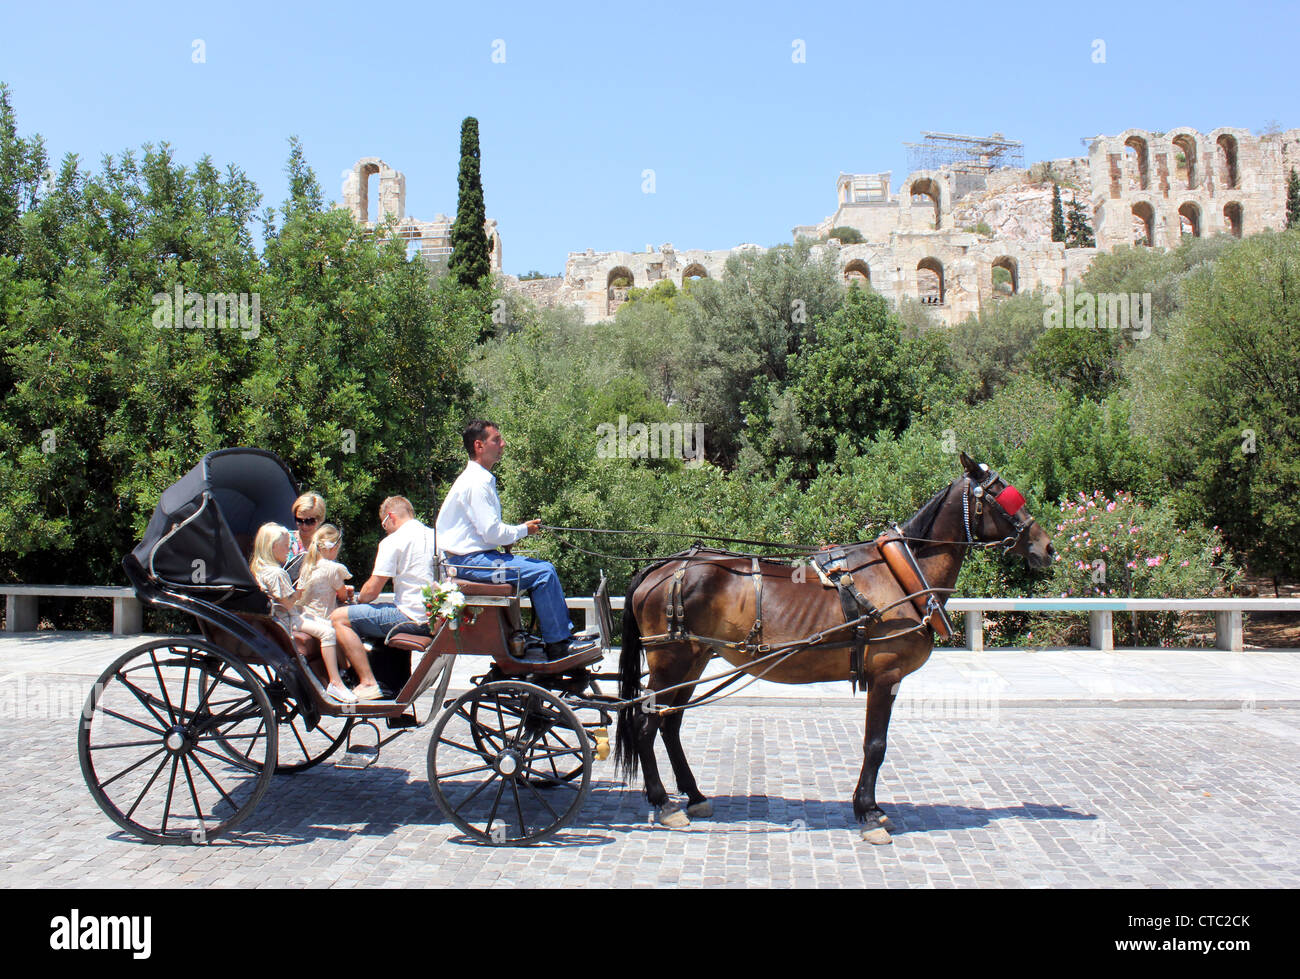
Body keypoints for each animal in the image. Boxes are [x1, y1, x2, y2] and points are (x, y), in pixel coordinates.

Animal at [614, 452, 1055, 844]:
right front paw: (869, 813)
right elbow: (875, 745)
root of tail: (660, 567)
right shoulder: (886, 675)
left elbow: (875, 744)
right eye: (1001, 496)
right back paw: (663, 803)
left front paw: (867, 807)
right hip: (671, 662)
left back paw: (694, 795)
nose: (1047, 547)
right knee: (645, 724)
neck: (901, 574)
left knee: (670, 724)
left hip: (694, 660)